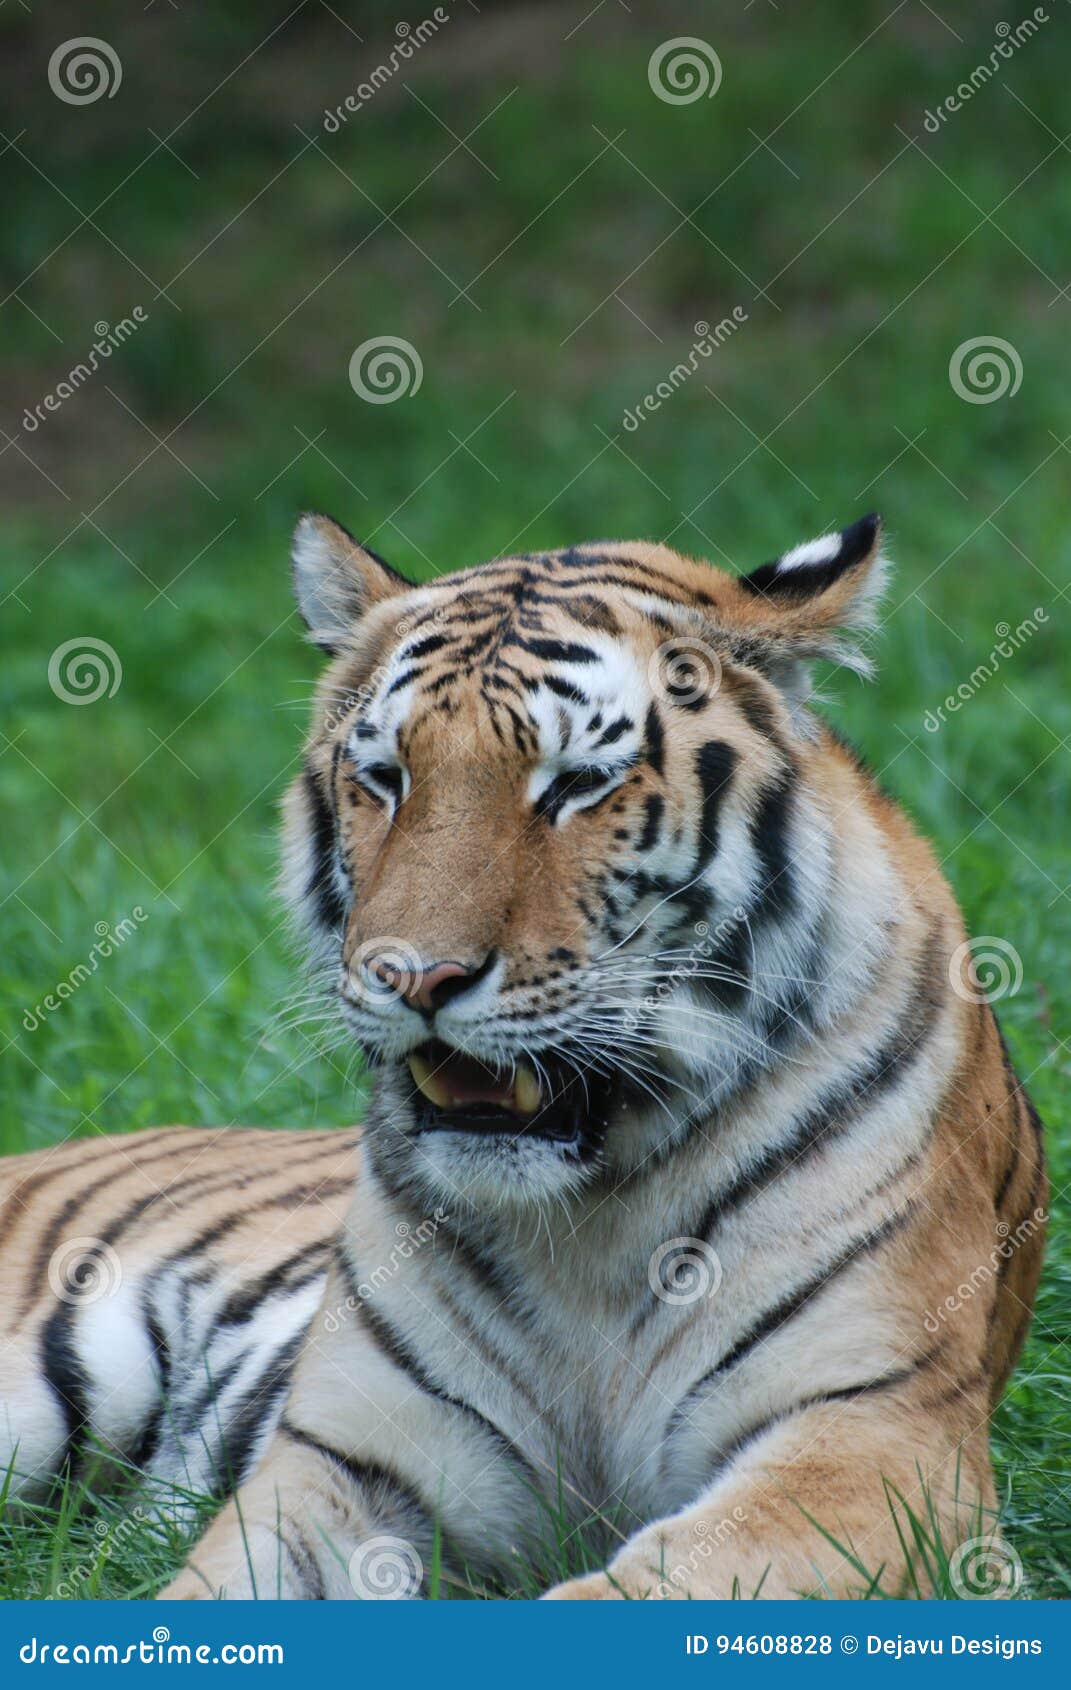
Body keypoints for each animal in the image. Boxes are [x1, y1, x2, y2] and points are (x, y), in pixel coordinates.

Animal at [0, 510, 1045, 1601]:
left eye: (576, 786)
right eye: (386, 780)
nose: (413, 976)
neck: (588, 1221)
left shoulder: (873, 1442)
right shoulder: (349, 1461)